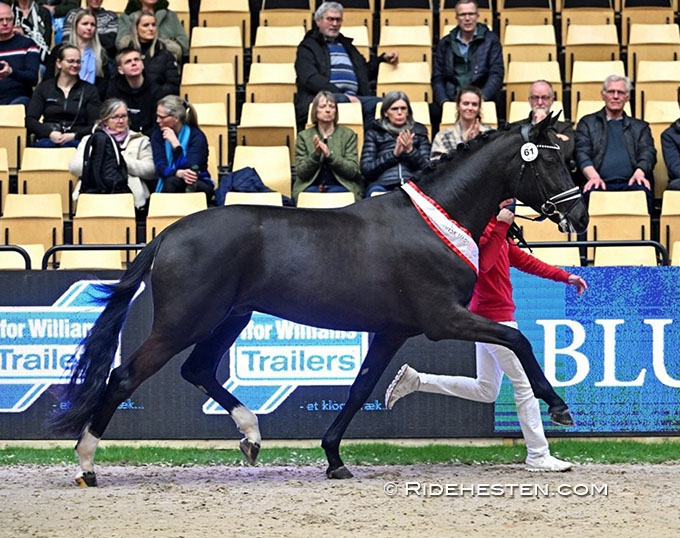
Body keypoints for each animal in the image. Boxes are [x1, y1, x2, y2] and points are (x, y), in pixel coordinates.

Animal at [52, 115, 589, 487]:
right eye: (548, 158)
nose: (579, 214)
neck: (435, 221)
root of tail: (168, 234)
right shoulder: (443, 319)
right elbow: (518, 339)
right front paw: (559, 406)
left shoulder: (391, 330)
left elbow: (360, 388)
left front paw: (334, 459)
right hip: (184, 322)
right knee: (125, 377)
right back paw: (87, 465)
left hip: (230, 318)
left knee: (198, 369)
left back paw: (251, 436)